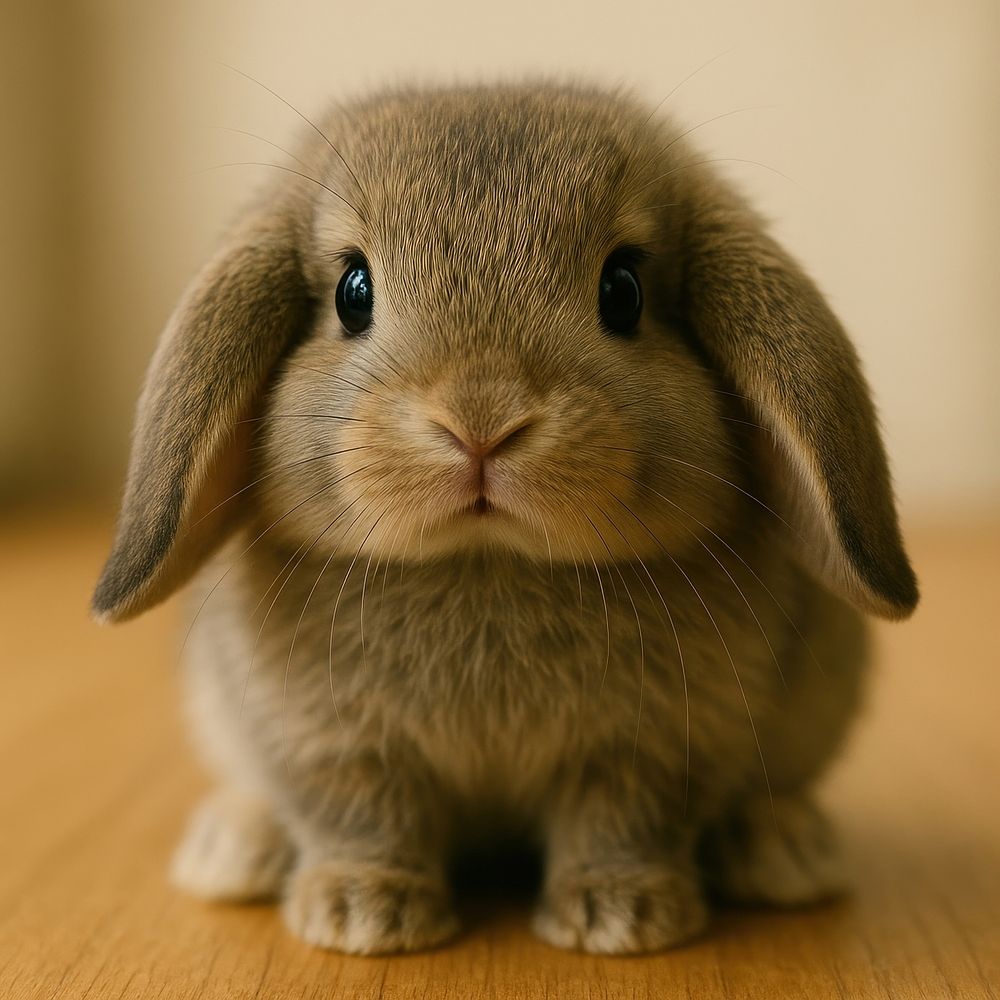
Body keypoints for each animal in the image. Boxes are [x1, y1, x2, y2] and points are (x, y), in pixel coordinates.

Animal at [92, 81, 918, 956]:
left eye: (622, 290)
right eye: (354, 292)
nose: (480, 419)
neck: (487, 559)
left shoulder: (652, 748)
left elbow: (618, 823)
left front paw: (620, 918)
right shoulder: (334, 745)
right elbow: (363, 818)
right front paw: (363, 915)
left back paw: (784, 851)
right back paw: (233, 850)